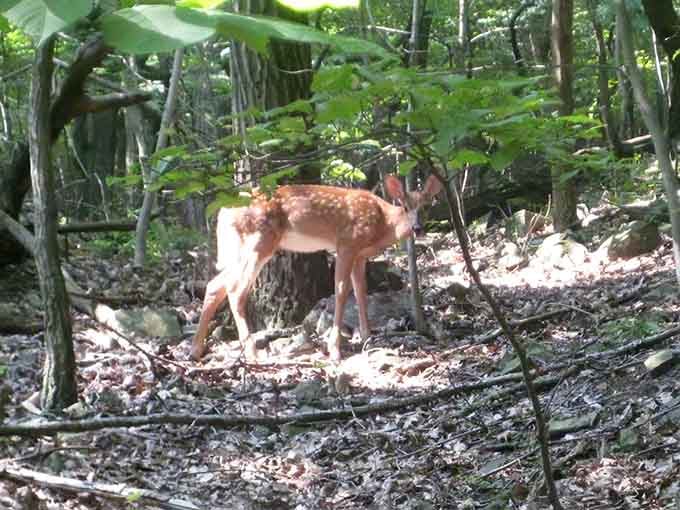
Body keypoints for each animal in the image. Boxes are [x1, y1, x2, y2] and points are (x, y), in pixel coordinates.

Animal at [191, 173, 443, 362]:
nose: (418, 228)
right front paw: (335, 349)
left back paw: (196, 350)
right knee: (235, 290)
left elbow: (361, 292)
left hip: (241, 247)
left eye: (426, 206)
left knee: (215, 285)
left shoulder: (360, 255)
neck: (382, 224)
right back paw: (253, 354)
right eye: (405, 206)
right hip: (259, 240)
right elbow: (341, 292)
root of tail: (223, 212)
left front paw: (367, 337)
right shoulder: (347, 244)